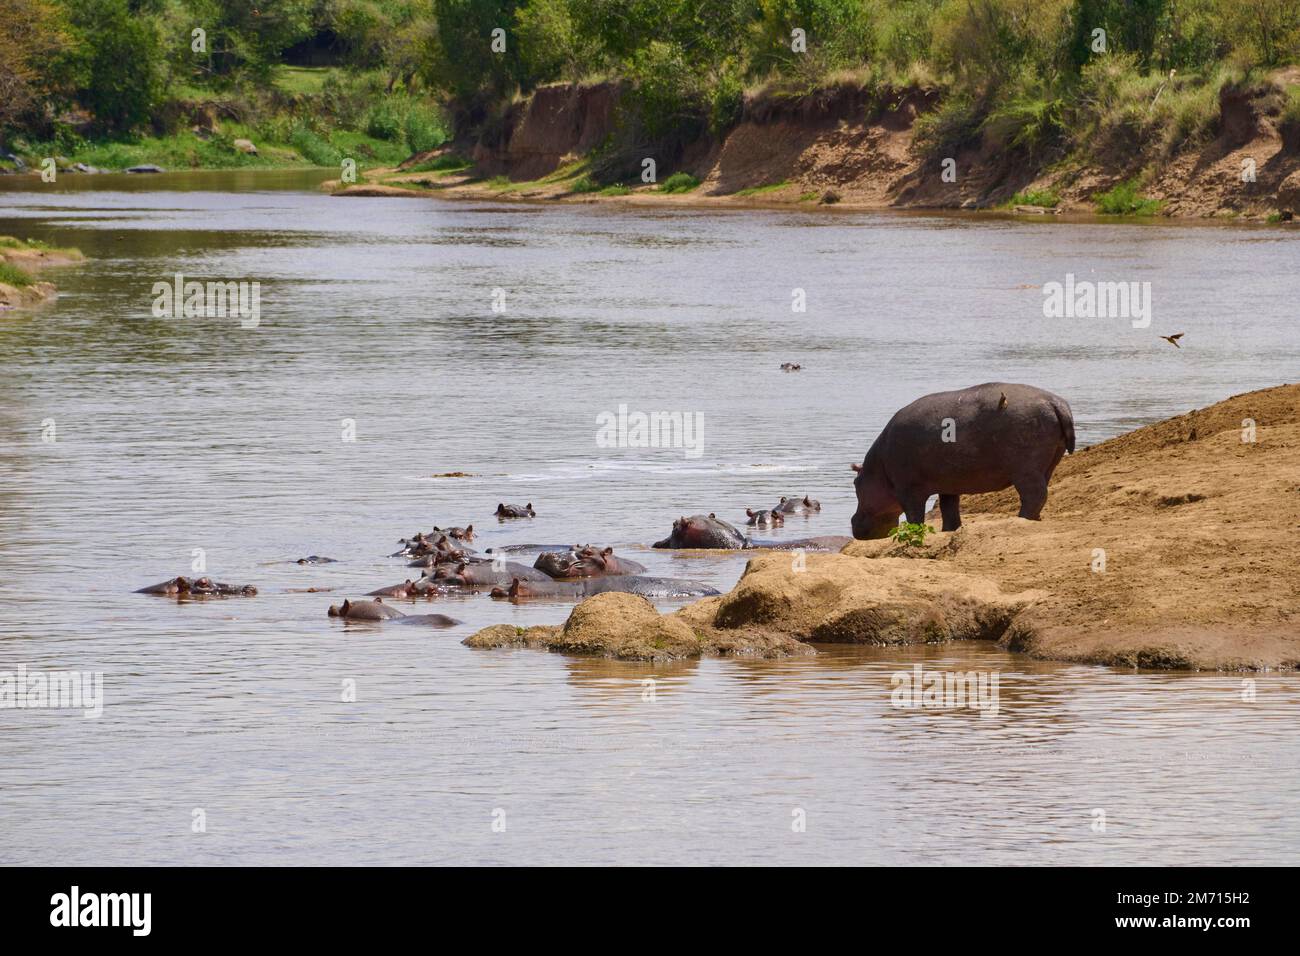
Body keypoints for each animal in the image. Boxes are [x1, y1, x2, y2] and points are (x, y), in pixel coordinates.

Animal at [851, 382, 1075, 539]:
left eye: (855, 484)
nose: (853, 521)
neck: (878, 468)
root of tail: (1056, 403)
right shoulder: (948, 485)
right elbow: (949, 508)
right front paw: (949, 531)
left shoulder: (908, 489)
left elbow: (915, 515)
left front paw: (917, 531)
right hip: (1048, 464)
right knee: (1041, 494)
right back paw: (1033, 519)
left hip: (1026, 470)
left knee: (1034, 495)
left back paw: (1021, 519)